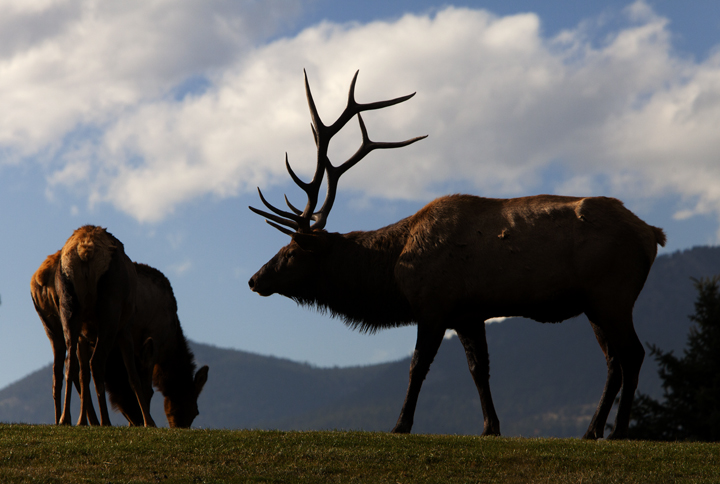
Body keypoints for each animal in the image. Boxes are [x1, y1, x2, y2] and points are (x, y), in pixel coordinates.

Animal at [54, 225, 155, 427]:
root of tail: (85, 251)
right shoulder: (125, 329)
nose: (137, 420)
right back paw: (105, 421)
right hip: (111, 310)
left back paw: (65, 418)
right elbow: (132, 375)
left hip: (68, 308)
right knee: (97, 362)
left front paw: (82, 421)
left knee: (71, 364)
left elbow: (83, 375)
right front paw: (149, 422)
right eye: (148, 376)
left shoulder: (83, 336)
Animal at [247, 70, 666, 439]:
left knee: (633, 354)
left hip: (611, 294)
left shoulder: (434, 304)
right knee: (614, 361)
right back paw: (593, 430)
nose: (254, 279)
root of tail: (653, 234)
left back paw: (618, 432)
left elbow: (417, 366)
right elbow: (478, 369)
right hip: (594, 304)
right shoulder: (468, 313)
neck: (393, 271)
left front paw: (401, 425)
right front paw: (490, 427)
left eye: (291, 251)